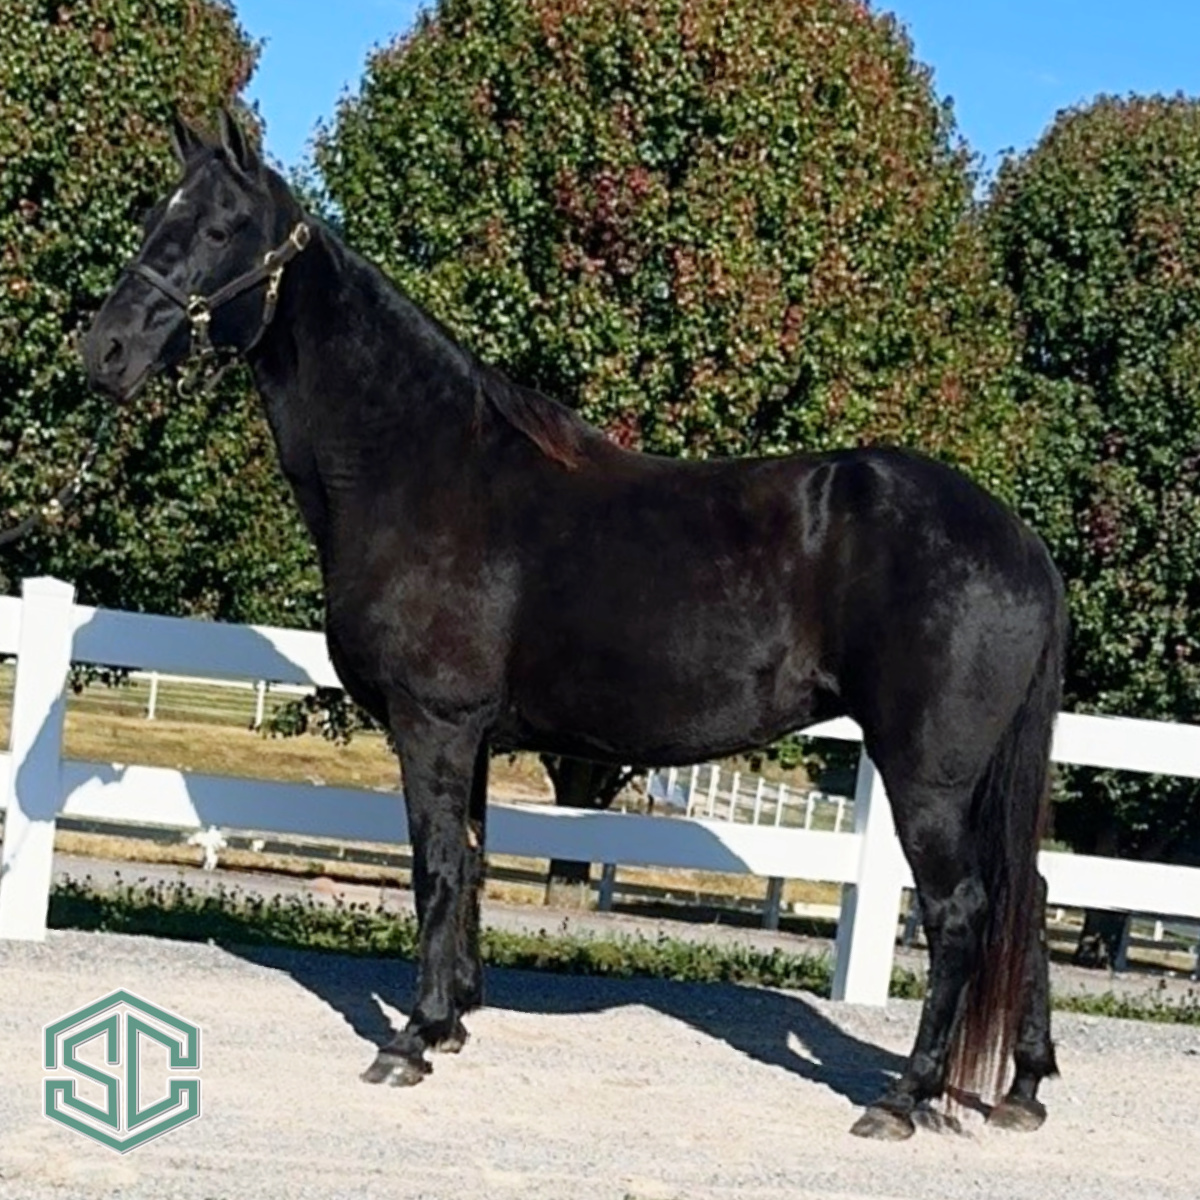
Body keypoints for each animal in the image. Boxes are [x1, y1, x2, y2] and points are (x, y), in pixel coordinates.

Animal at [83, 109, 1066, 1140]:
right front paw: (453, 1021)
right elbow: (470, 866)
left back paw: (902, 1096)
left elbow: (436, 866)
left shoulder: (433, 724)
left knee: (962, 911)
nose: (103, 351)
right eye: (155, 216)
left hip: (928, 774)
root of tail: (1018, 539)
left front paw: (410, 1040)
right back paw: (1024, 1088)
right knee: (1029, 896)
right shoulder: (469, 737)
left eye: (222, 227)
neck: (422, 465)